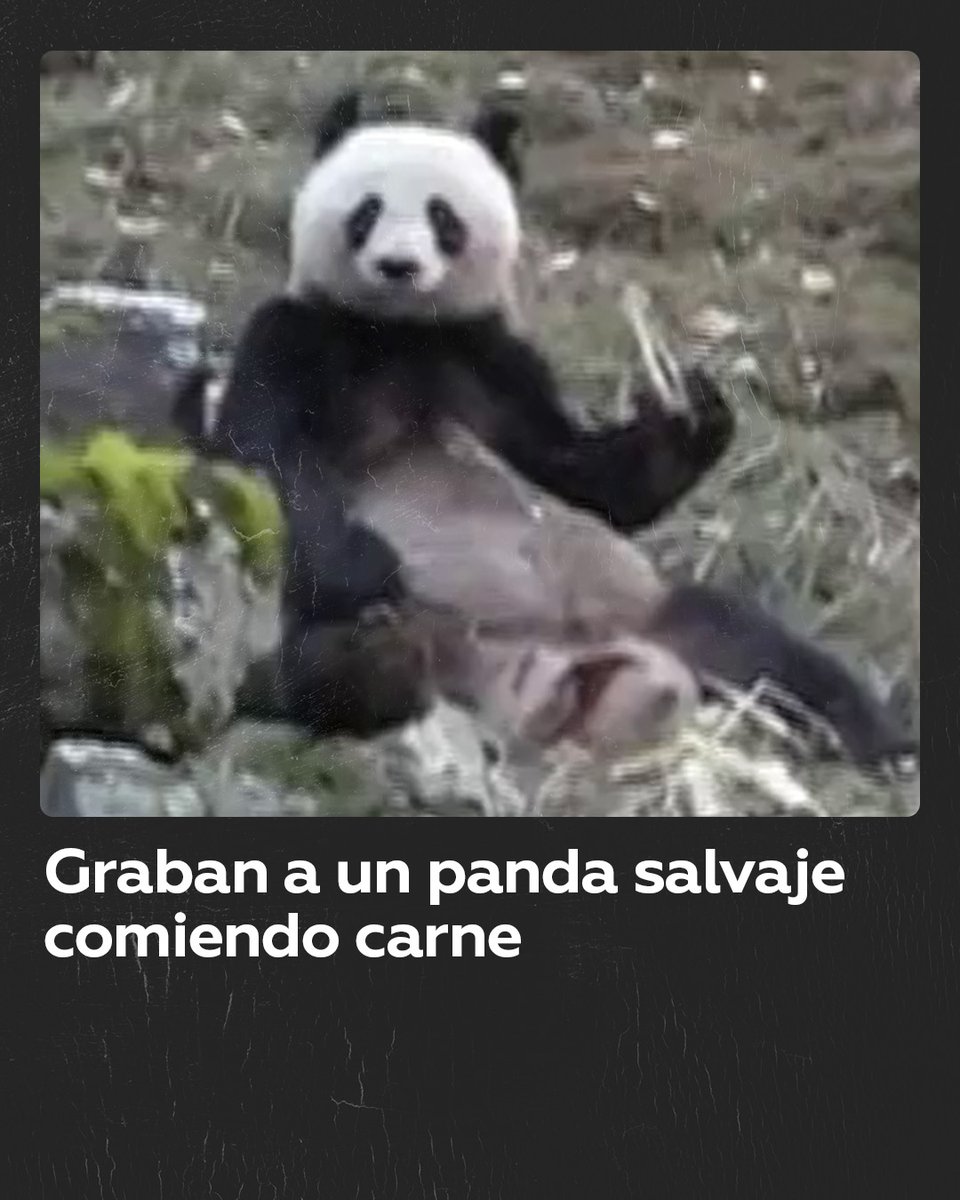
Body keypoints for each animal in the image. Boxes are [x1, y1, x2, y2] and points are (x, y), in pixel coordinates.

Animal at [194, 88, 914, 772]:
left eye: (442, 217)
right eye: (366, 211)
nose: (399, 267)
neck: (398, 333)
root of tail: (559, 668)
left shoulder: (490, 357)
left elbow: (584, 477)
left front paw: (688, 413)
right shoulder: (294, 339)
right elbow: (263, 462)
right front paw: (365, 562)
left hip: (650, 613)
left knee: (759, 648)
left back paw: (883, 741)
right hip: (399, 638)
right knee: (313, 662)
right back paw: (382, 662)